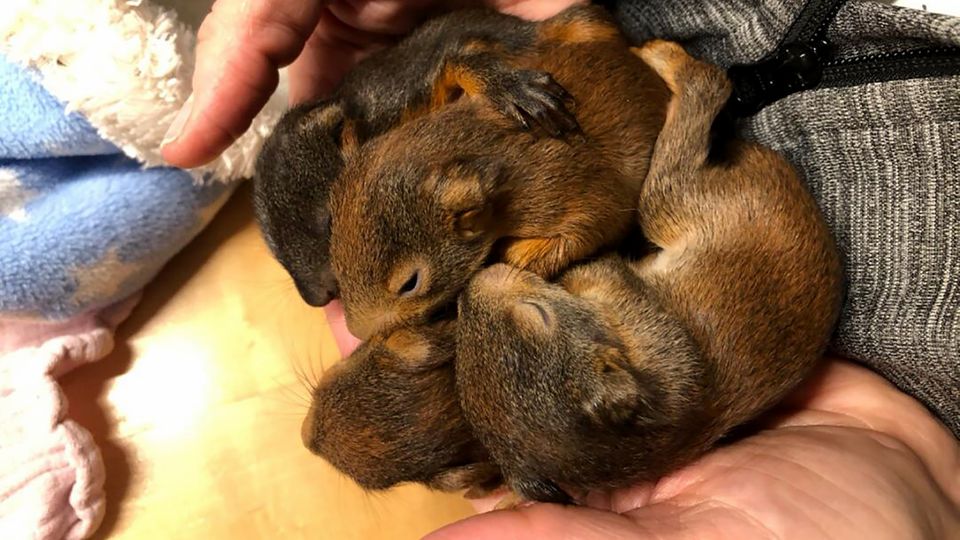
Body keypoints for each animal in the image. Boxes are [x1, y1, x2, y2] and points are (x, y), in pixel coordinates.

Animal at [252, 7, 589, 307]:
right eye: (276, 253)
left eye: (330, 220)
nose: (318, 299)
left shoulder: (407, 89)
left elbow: (459, 58)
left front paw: (508, 86)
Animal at [454, 41, 845, 504]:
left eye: (537, 313)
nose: (468, 290)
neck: (629, 445)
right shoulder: (654, 330)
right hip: (677, 202)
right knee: (706, 90)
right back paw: (667, 58)